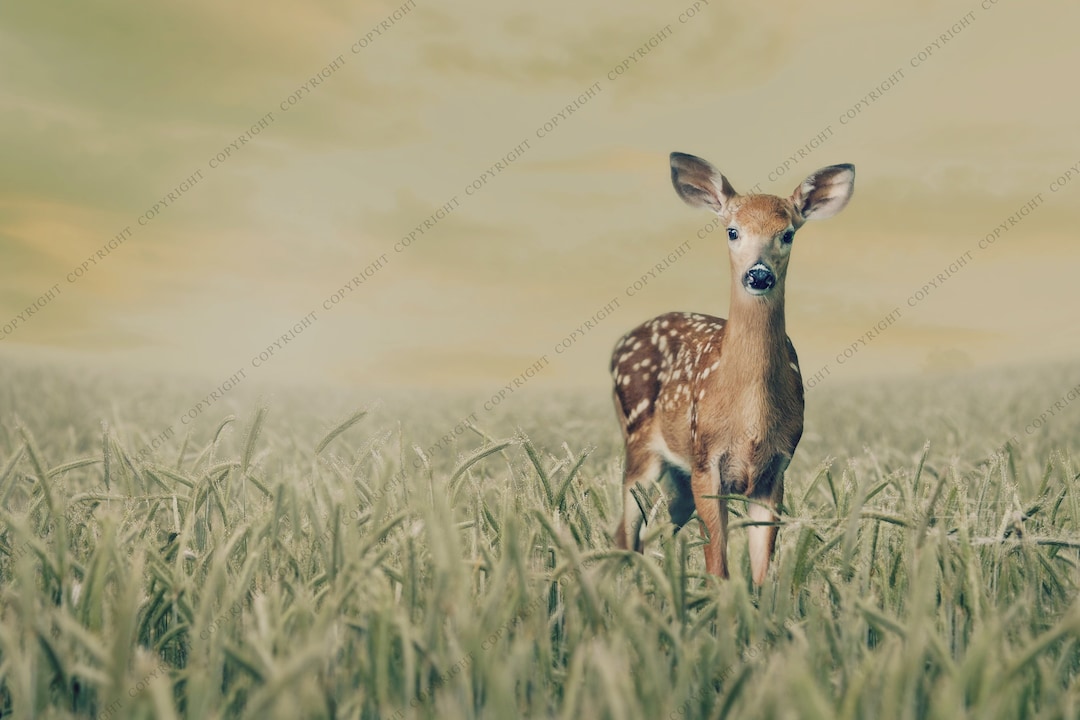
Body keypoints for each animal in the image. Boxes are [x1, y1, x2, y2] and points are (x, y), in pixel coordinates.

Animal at [611, 152, 855, 584]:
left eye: (787, 233)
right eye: (732, 231)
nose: (758, 274)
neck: (750, 417)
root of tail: (618, 347)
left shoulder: (776, 469)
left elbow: (761, 572)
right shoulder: (707, 461)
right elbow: (718, 567)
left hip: (677, 479)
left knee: (652, 533)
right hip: (640, 445)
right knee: (626, 533)